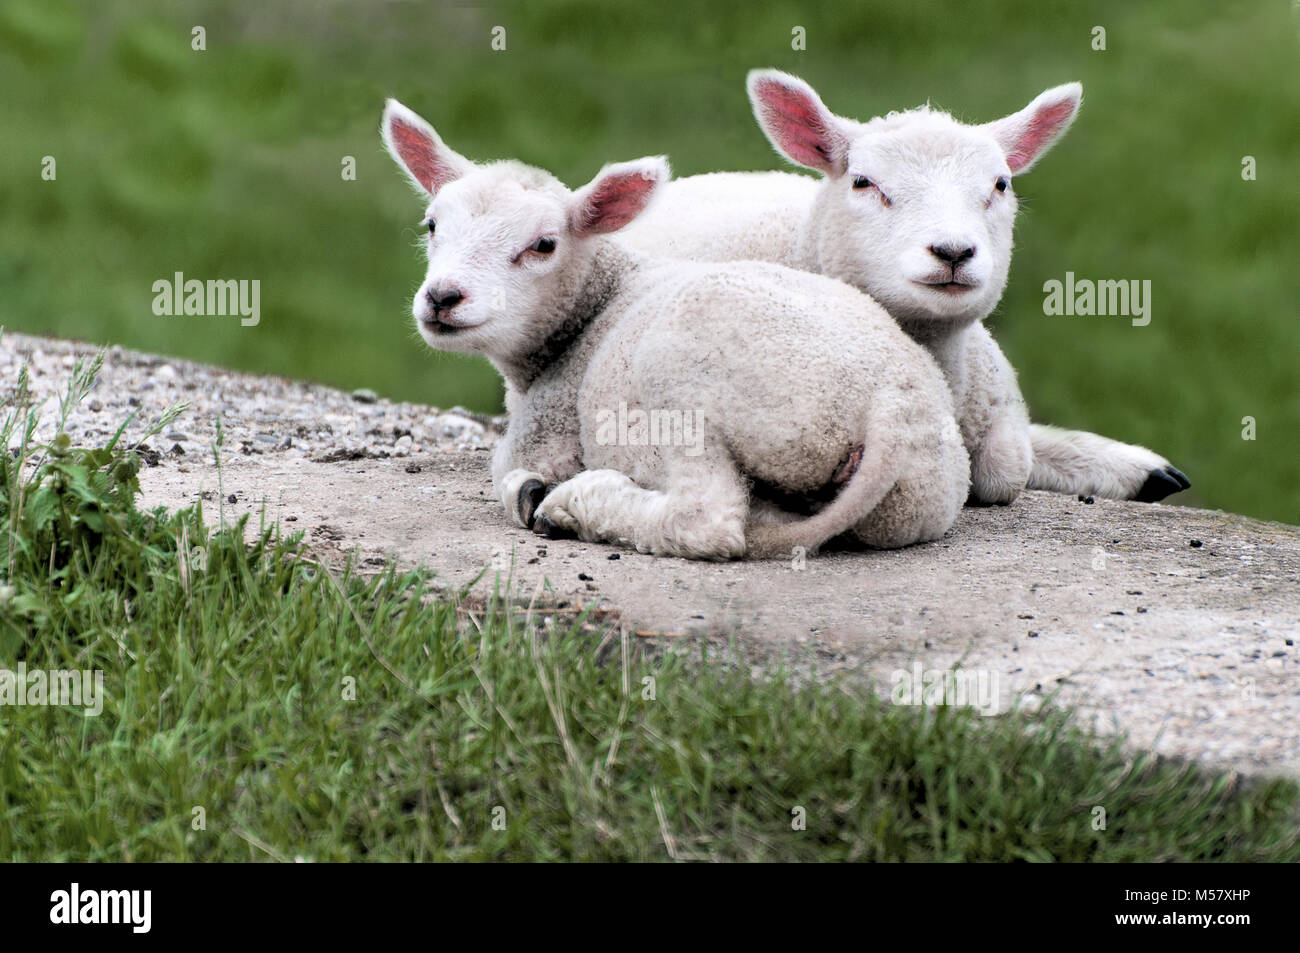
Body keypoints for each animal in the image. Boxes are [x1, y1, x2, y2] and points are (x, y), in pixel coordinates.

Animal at [380, 99, 970, 560]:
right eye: (432, 225)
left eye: (543, 245)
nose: (442, 297)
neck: (594, 306)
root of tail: (891, 402)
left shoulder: (545, 428)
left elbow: (508, 470)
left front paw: (535, 491)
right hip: (906, 503)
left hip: (693, 378)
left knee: (708, 520)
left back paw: (574, 504)